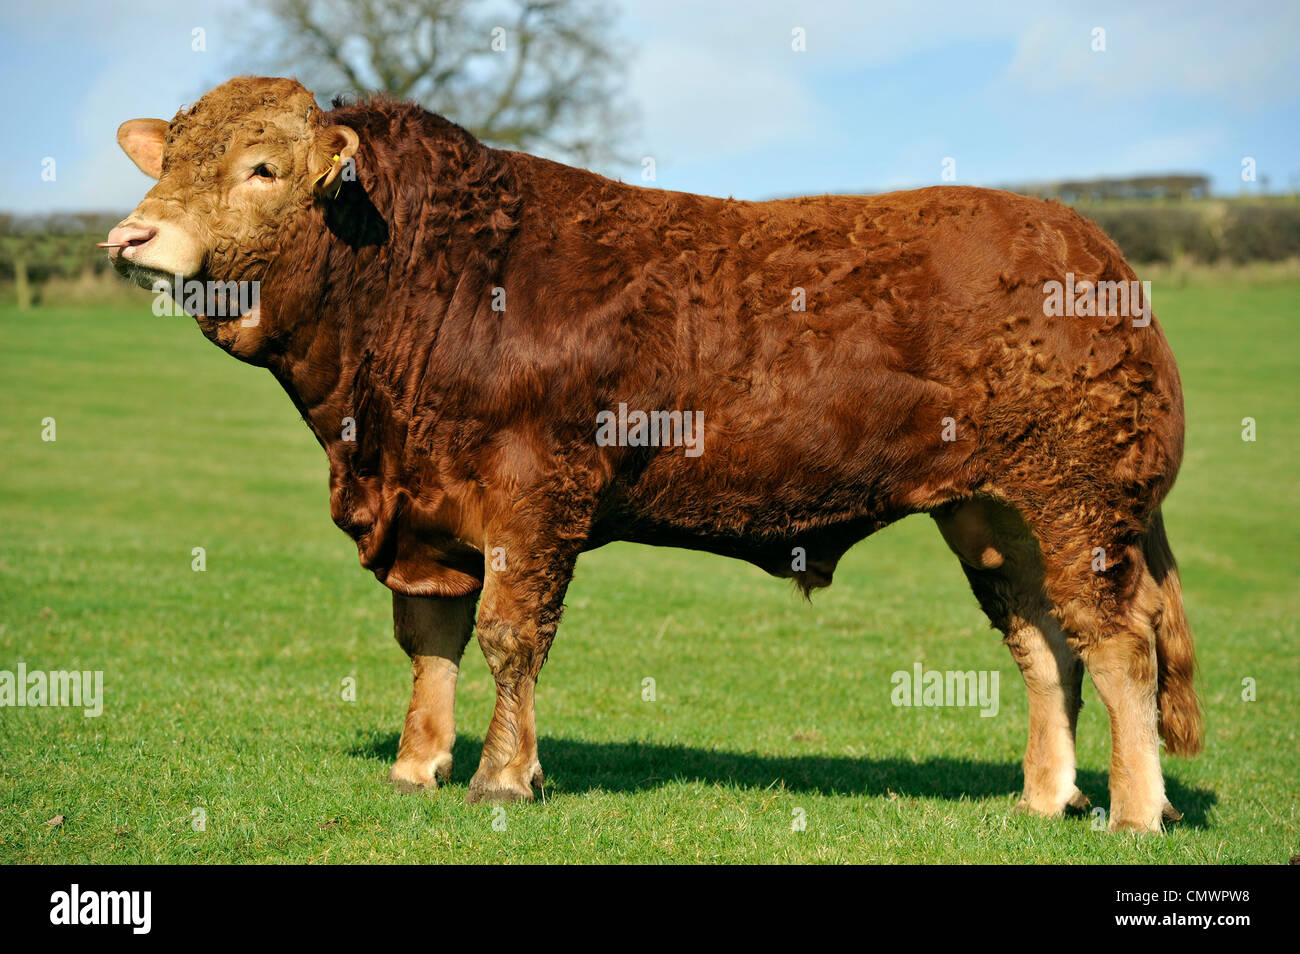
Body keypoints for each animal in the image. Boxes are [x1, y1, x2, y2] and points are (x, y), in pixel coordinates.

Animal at [105, 76, 1201, 831]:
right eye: (165, 163)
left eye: (261, 168)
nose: (132, 237)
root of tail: (1090, 247)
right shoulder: (426, 516)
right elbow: (430, 640)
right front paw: (418, 767)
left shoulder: (532, 498)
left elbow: (509, 635)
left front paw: (504, 778)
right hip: (993, 513)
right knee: (1044, 644)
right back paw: (1043, 798)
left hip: (1080, 501)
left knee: (1118, 647)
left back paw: (1134, 812)